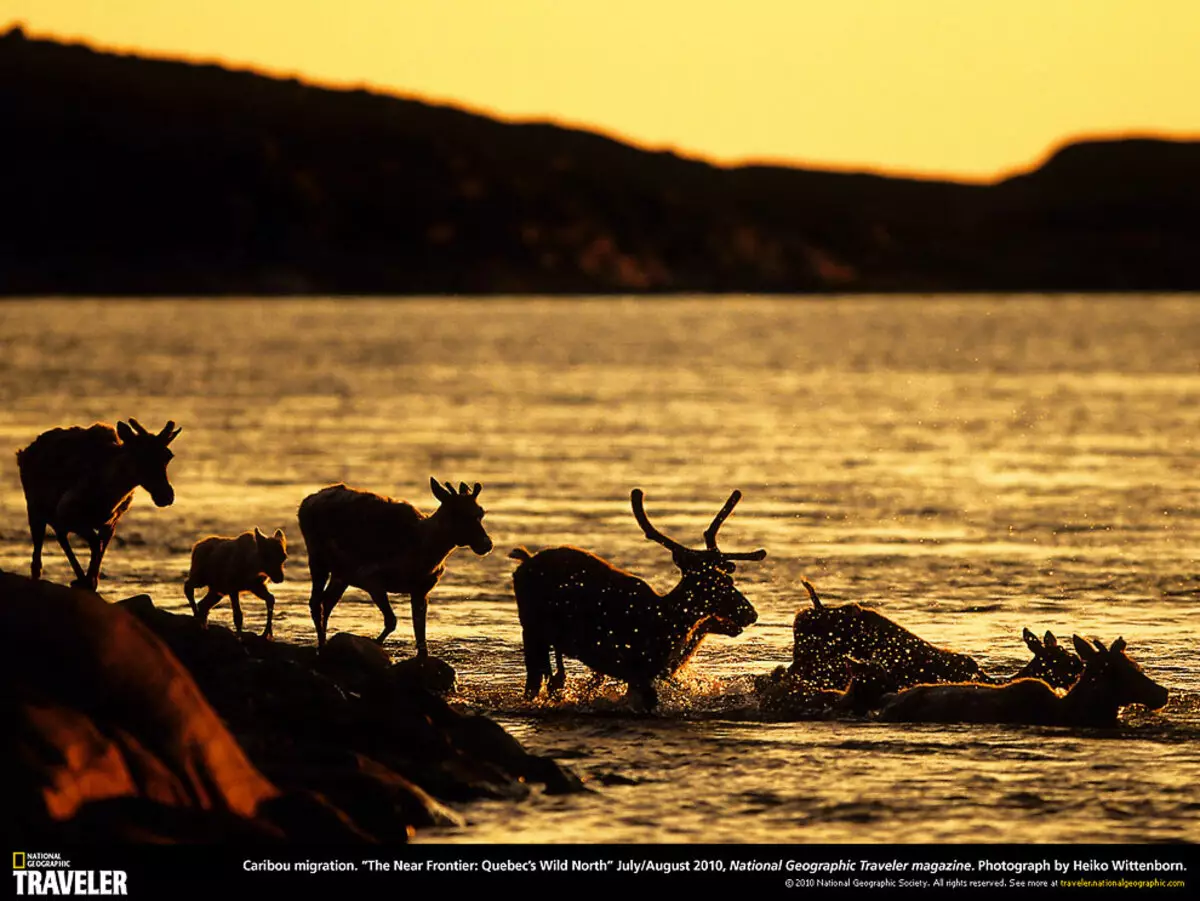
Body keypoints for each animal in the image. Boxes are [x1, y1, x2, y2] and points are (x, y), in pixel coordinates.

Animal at [300, 482, 492, 652]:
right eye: (457, 513)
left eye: (480, 512)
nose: (486, 544)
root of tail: (305, 503)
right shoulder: (370, 578)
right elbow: (392, 621)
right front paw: (375, 643)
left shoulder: (421, 590)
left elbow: (421, 638)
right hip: (317, 558)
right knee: (316, 602)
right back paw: (321, 647)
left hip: (341, 574)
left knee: (326, 602)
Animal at [511, 487, 763, 710]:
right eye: (716, 584)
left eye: (728, 579)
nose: (750, 613)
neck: (664, 622)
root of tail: (524, 561)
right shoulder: (637, 671)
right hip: (531, 630)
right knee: (533, 684)